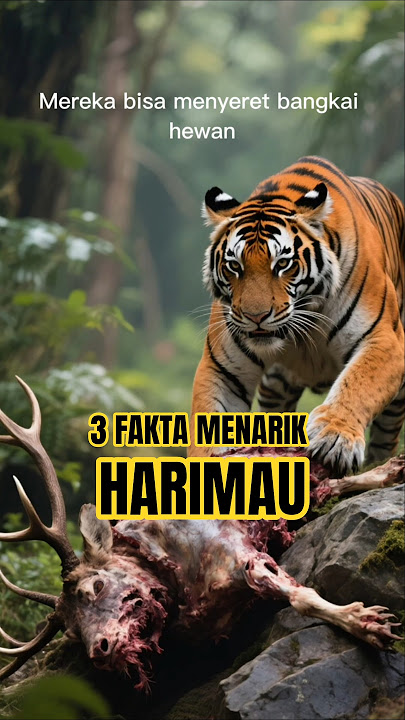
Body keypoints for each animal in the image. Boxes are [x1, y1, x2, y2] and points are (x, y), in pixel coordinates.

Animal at [189, 156, 405, 475]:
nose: (255, 316)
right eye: (234, 266)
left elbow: (358, 385)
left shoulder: (383, 340)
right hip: (275, 386)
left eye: (282, 263)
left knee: (385, 439)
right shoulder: (223, 367)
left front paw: (334, 439)